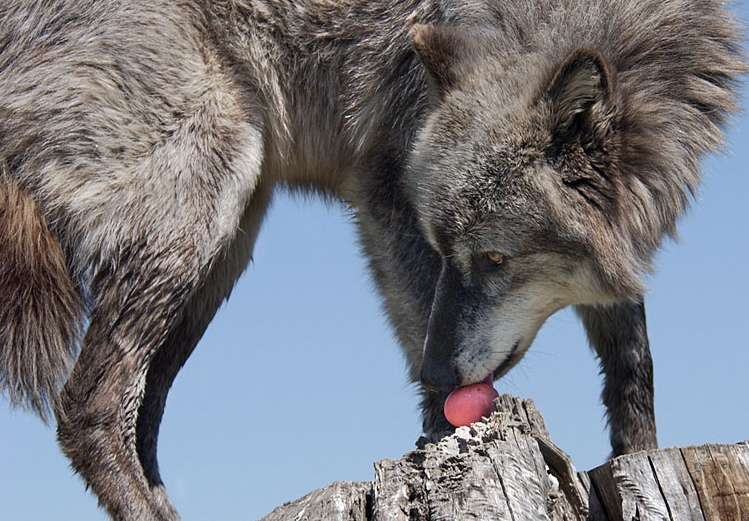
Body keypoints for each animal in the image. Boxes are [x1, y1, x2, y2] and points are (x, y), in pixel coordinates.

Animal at [0, 0, 745, 519]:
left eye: (493, 258)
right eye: (446, 250)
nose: (438, 369)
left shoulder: (621, 246)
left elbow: (633, 363)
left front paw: (639, 454)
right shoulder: (384, 186)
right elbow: (430, 356)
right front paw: (443, 439)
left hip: (221, 253)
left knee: (141, 414)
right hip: (200, 208)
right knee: (90, 407)